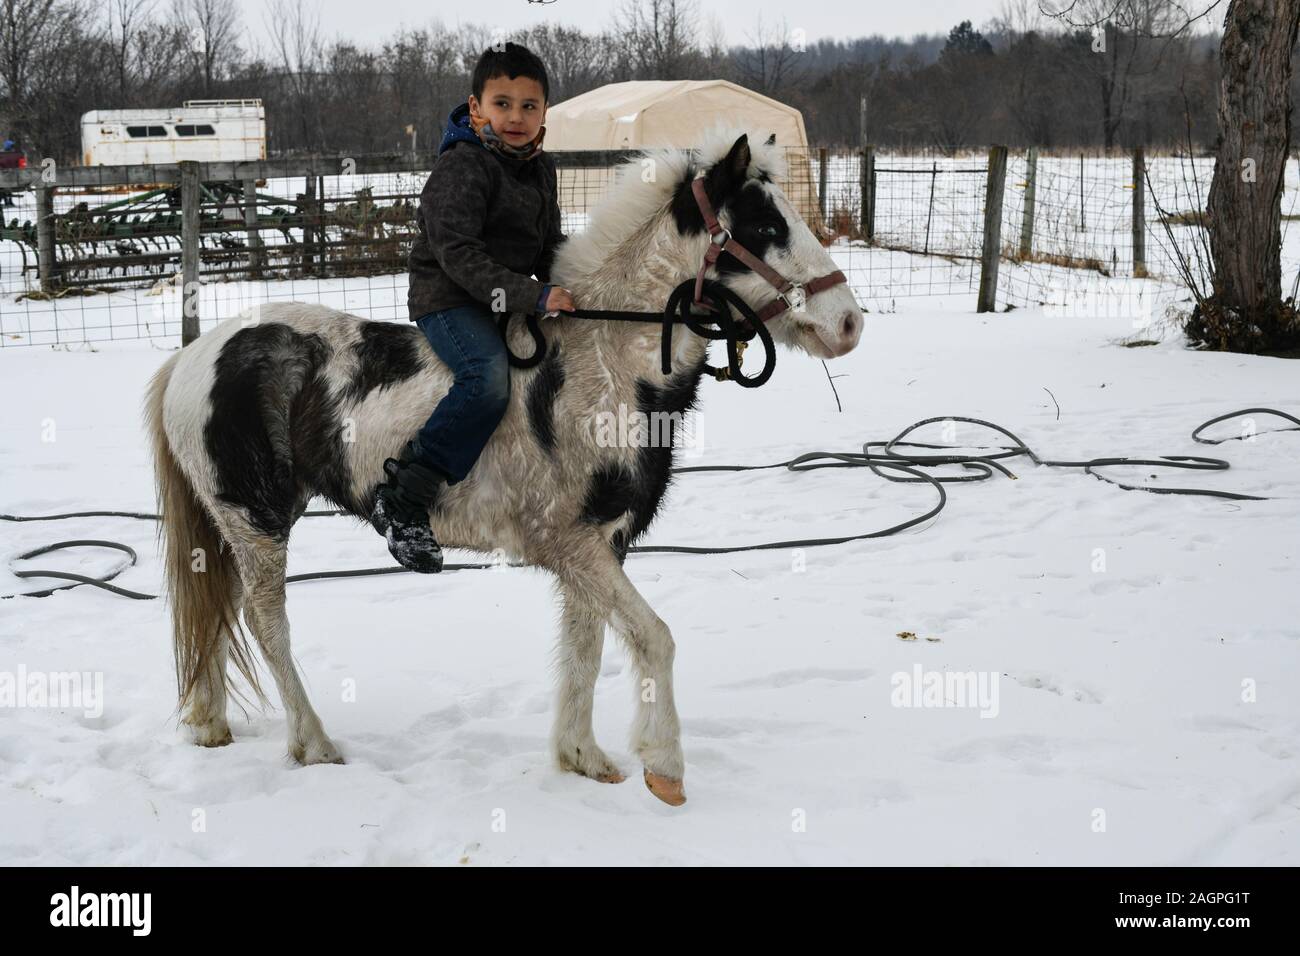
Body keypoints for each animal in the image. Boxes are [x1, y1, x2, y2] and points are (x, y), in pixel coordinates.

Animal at [143, 128, 864, 806]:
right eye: (765, 227)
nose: (849, 323)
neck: (604, 363)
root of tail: (195, 356)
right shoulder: (574, 545)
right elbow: (654, 638)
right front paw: (664, 768)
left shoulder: (598, 545)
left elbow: (585, 648)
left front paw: (583, 758)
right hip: (257, 523)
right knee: (266, 624)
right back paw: (313, 743)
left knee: (219, 610)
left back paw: (210, 723)